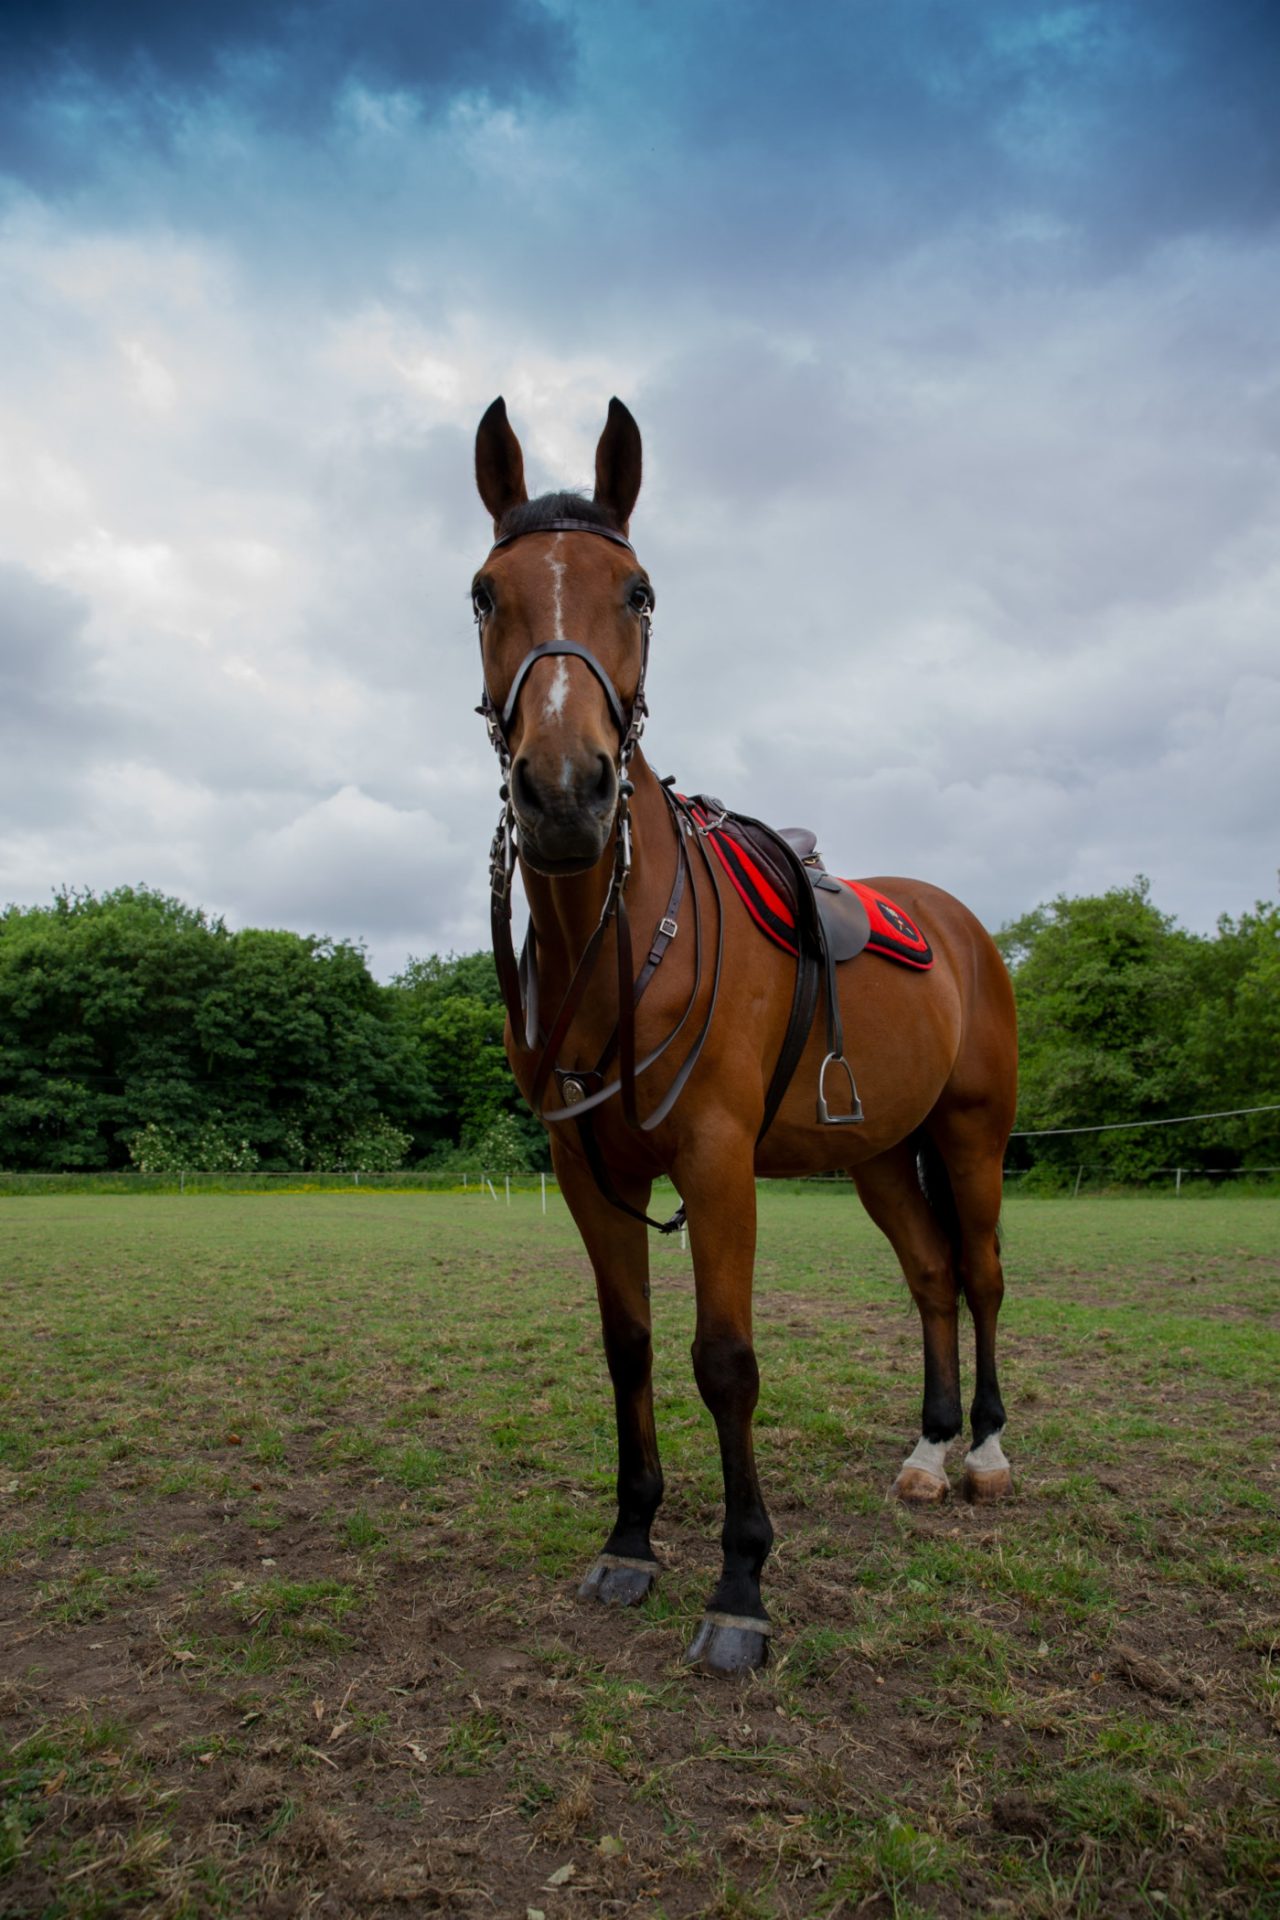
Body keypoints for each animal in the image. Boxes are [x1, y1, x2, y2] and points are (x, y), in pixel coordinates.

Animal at [469, 395, 1018, 1673]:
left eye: (638, 592)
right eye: (482, 592)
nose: (562, 795)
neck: (616, 947)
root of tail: (957, 923)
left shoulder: (716, 1162)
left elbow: (723, 1361)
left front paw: (738, 1588)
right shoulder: (590, 1167)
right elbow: (626, 1345)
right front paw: (629, 1541)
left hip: (969, 1138)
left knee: (978, 1274)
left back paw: (981, 1451)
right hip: (879, 1154)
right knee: (928, 1276)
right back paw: (925, 1454)